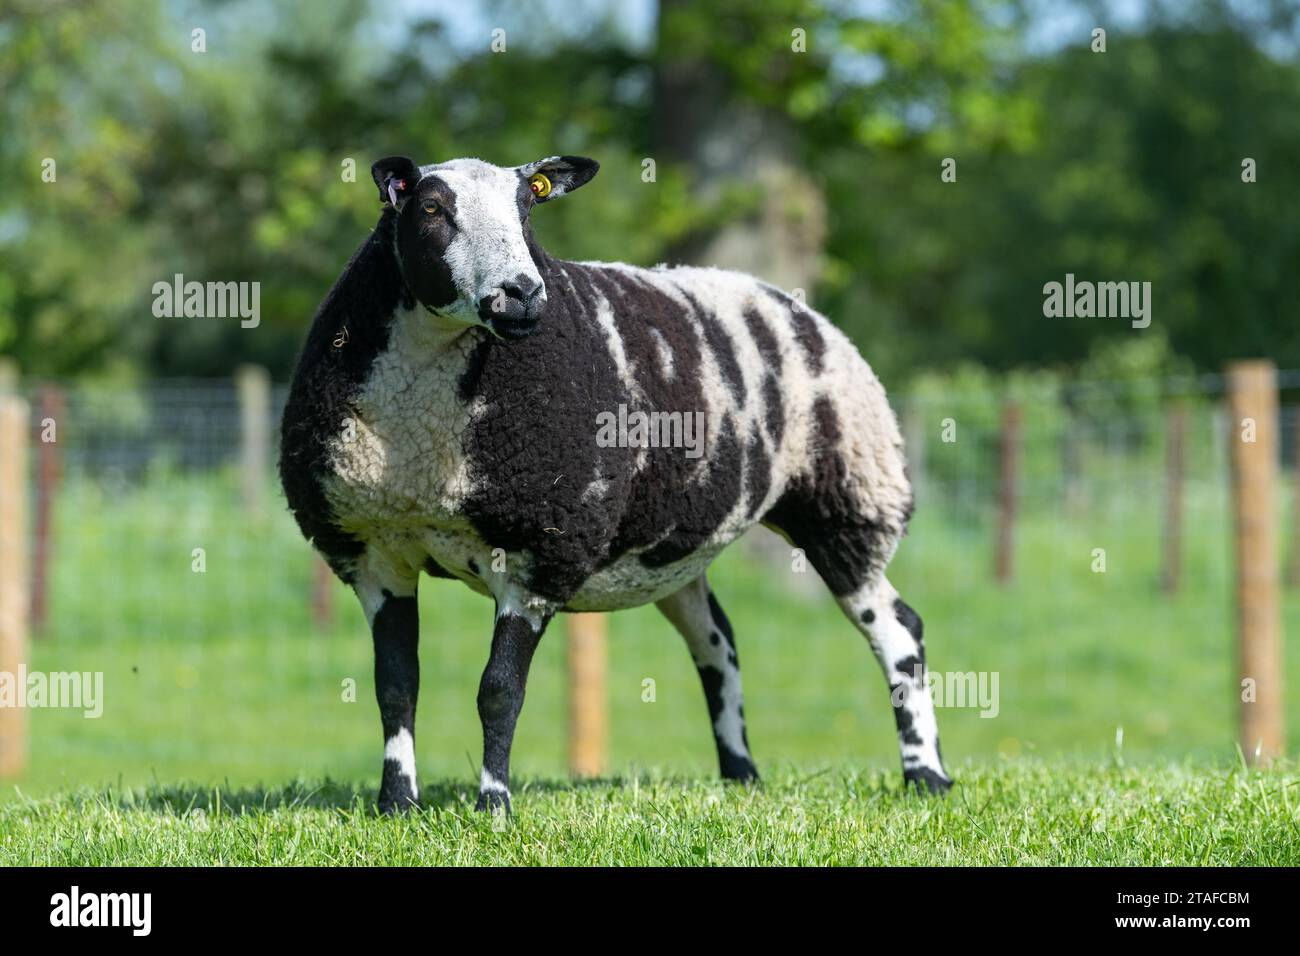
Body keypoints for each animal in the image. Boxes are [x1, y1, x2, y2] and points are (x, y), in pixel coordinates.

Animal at [279, 154, 952, 813]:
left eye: (528, 208)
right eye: (430, 209)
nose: (522, 295)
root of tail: (790, 303)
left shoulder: (538, 557)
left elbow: (498, 690)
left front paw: (493, 806)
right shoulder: (373, 552)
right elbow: (396, 686)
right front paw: (396, 803)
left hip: (846, 500)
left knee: (900, 631)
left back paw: (927, 776)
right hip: (675, 551)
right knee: (718, 644)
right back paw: (741, 774)